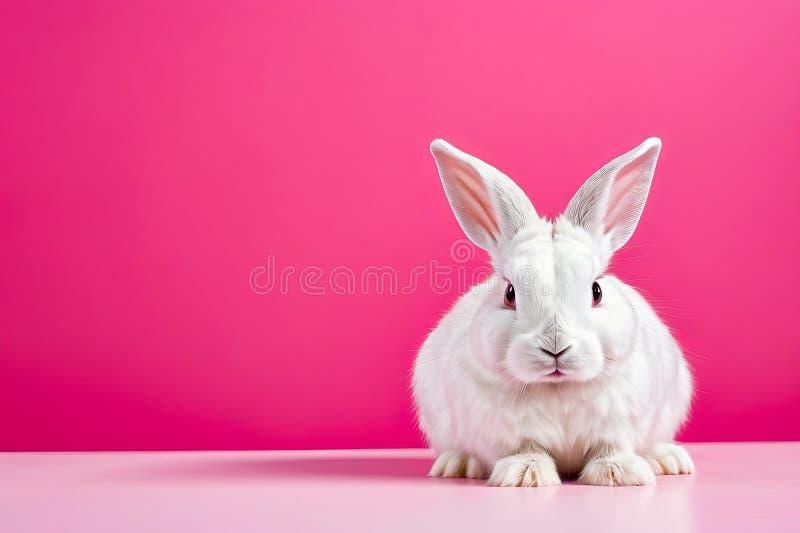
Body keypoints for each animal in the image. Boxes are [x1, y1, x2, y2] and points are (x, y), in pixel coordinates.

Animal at [412, 138, 694, 487]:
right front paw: (524, 474)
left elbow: (610, 448)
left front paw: (618, 474)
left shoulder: (619, 425)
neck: (559, 389)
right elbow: (526, 449)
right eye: (509, 293)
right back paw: (459, 464)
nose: (555, 345)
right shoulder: (509, 434)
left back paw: (668, 459)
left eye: (596, 291)